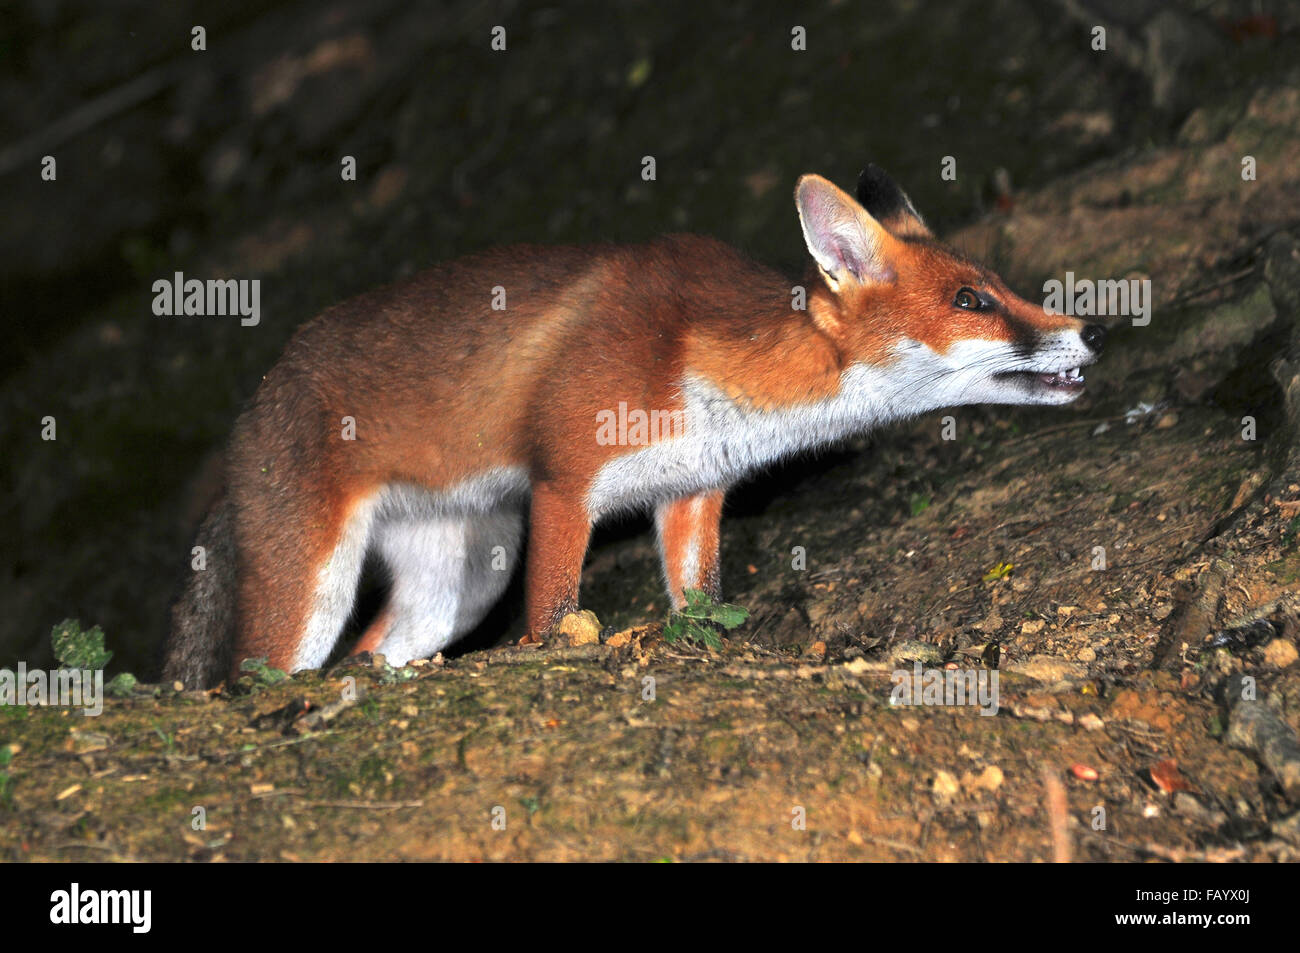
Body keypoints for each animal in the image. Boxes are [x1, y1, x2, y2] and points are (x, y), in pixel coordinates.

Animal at [162, 166, 1105, 688]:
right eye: (972, 302)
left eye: (996, 286)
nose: (1090, 329)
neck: (706, 371)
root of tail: (251, 412)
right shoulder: (563, 482)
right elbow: (551, 618)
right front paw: (558, 655)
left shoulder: (692, 492)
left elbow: (701, 605)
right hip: (312, 590)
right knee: (252, 676)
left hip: (458, 585)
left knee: (372, 652)